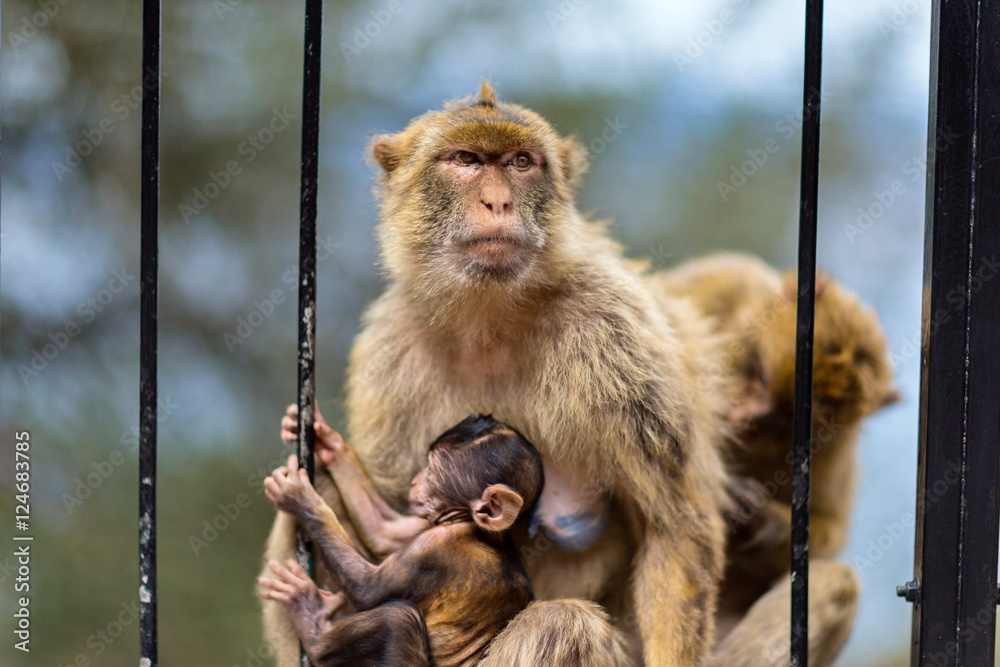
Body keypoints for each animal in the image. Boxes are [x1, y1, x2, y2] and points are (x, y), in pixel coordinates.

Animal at [259, 414, 542, 667]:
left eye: (431, 469)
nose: (415, 480)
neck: (475, 527)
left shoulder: (434, 548)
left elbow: (367, 589)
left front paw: (302, 500)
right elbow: (384, 532)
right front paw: (329, 443)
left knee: (400, 617)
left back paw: (313, 625)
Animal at [649, 252, 899, 666]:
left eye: (780, 423)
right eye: (758, 375)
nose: (742, 416)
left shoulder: (833, 450)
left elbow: (827, 534)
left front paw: (757, 519)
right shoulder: (720, 282)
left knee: (836, 582)